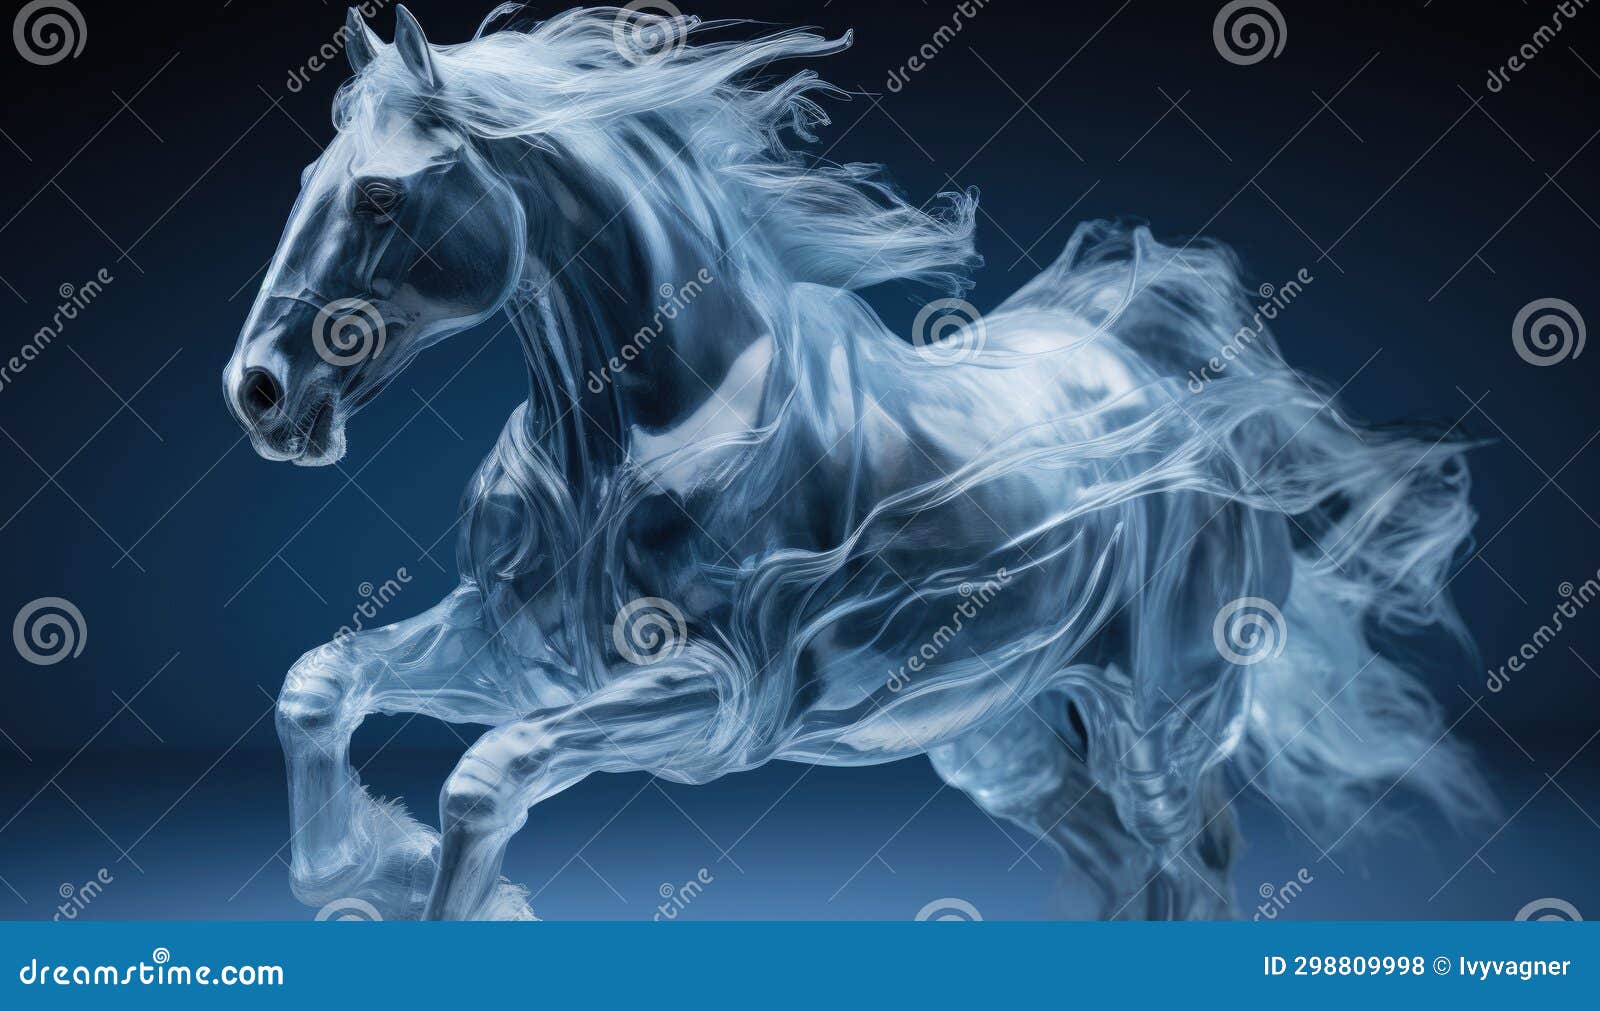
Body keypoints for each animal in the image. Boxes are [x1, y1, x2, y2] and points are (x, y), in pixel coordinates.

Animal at [223, 5, 1491, 921]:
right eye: (303, 183)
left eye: (379, 192)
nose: (259, 391)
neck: (649, 431)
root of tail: (1162, 380)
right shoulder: (524, 651)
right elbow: (318, 684)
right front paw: (367, 868)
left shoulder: (714, 696)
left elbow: (486, 777)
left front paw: (441, 892)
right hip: (996, 732)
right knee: (1118, 867)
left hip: (1161, 720)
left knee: (1194, 865)